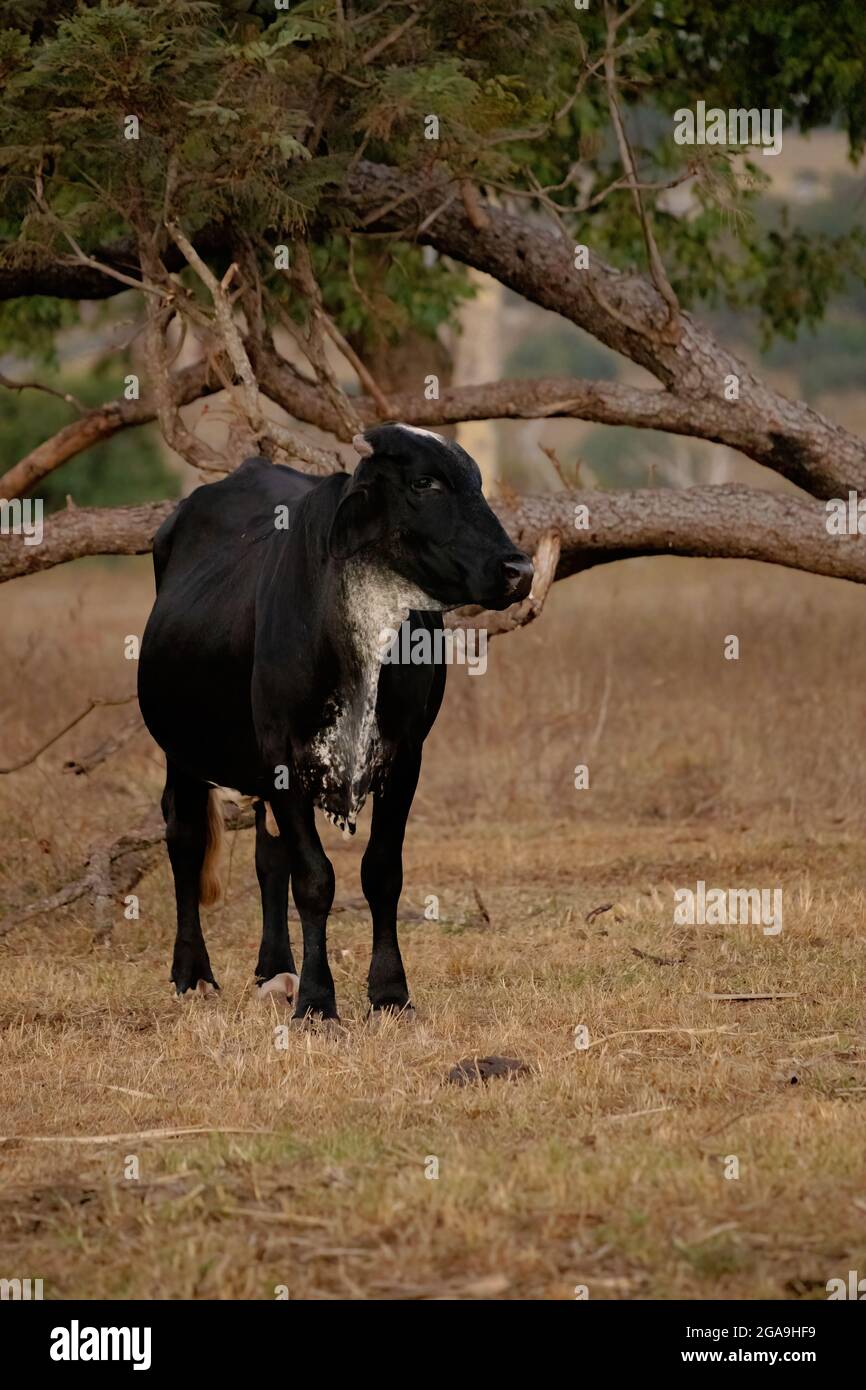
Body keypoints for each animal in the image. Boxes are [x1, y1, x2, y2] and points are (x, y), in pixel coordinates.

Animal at [137, 423, 533, 1020]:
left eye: (477, 483)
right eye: (424, 483)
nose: (519, 571)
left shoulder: (405, 755)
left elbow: (381, 872)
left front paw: (390, 992)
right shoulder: (282, 753)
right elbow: (315, 878)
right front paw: (319, 1002)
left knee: (268, 856)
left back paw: (275, 970)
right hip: (182, 750)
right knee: (184, 839)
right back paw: (194, 972)